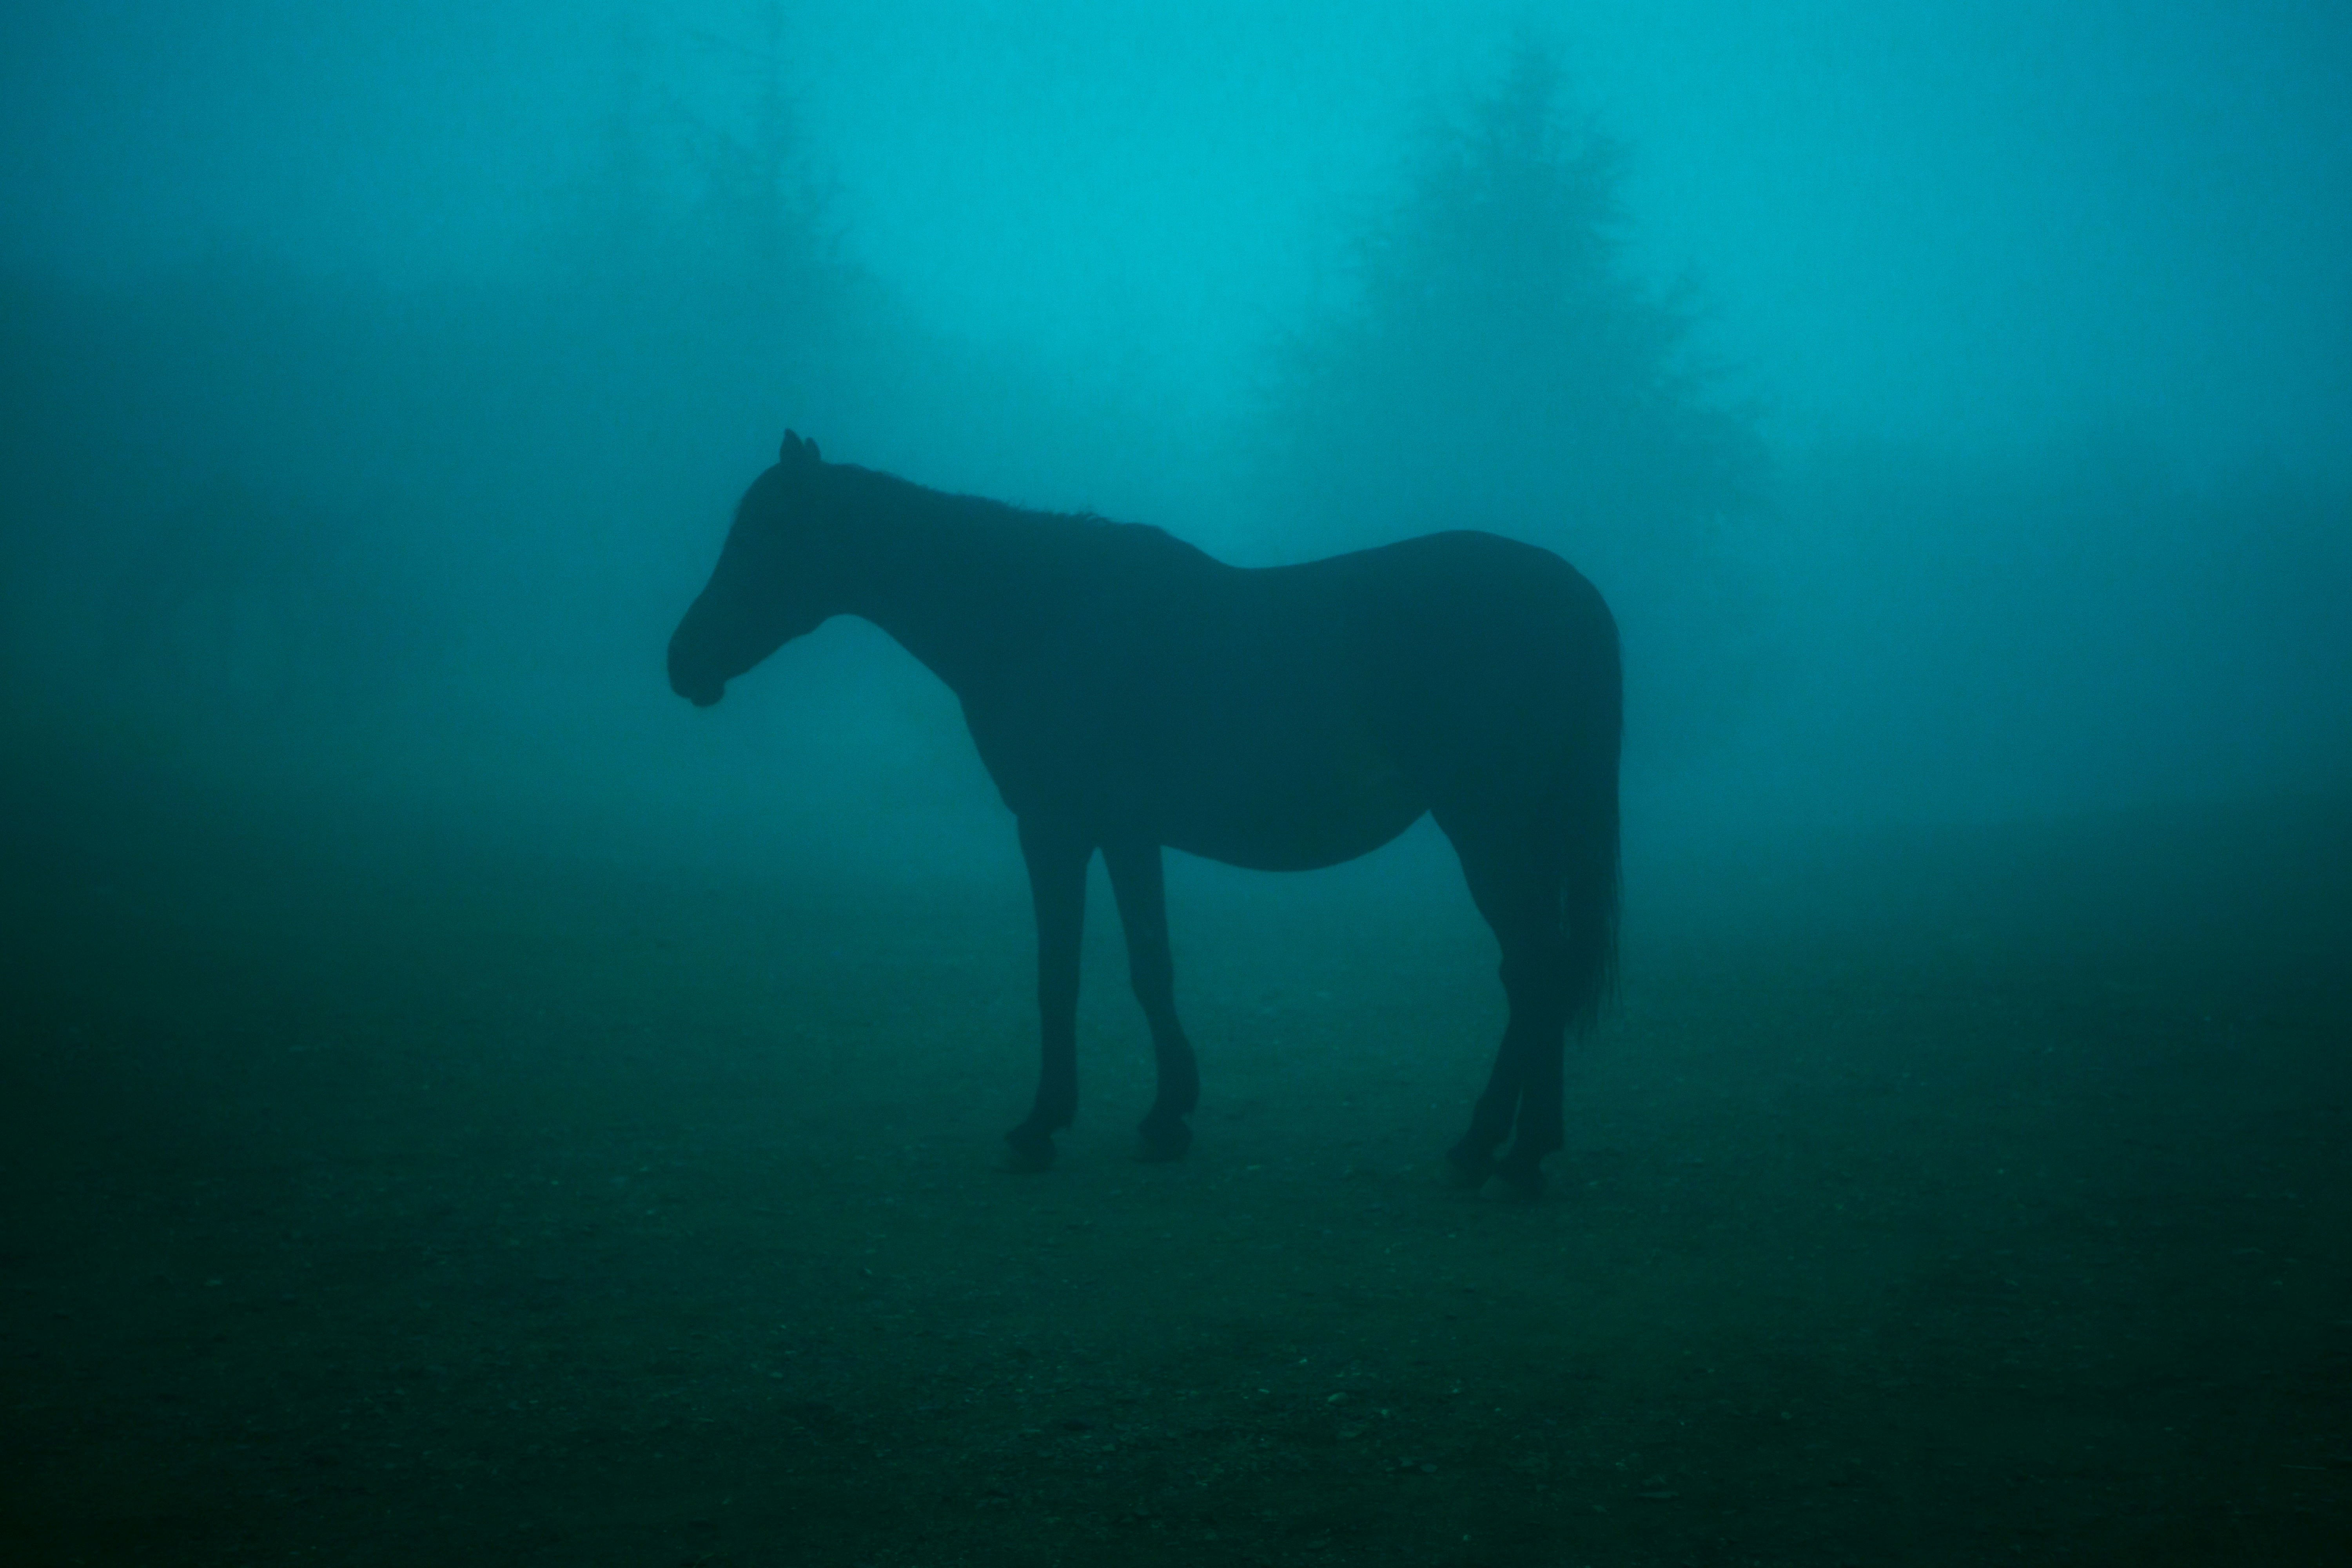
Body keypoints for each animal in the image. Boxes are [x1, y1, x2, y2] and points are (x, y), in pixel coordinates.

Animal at [669, 432, 1621, 1197]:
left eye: (768, 533)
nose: (683, 660)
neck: (1039, 618)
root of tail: (1575, 593)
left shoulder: (1053, 828)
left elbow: (1059, 975)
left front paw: (1040, 1125)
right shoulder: (1127, 834)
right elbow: (1149, 966)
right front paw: (1167, 1117)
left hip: (1487, 832)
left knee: (1533, 971)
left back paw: (1500, 1147)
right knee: (1538, 973)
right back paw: (1508, 1148)